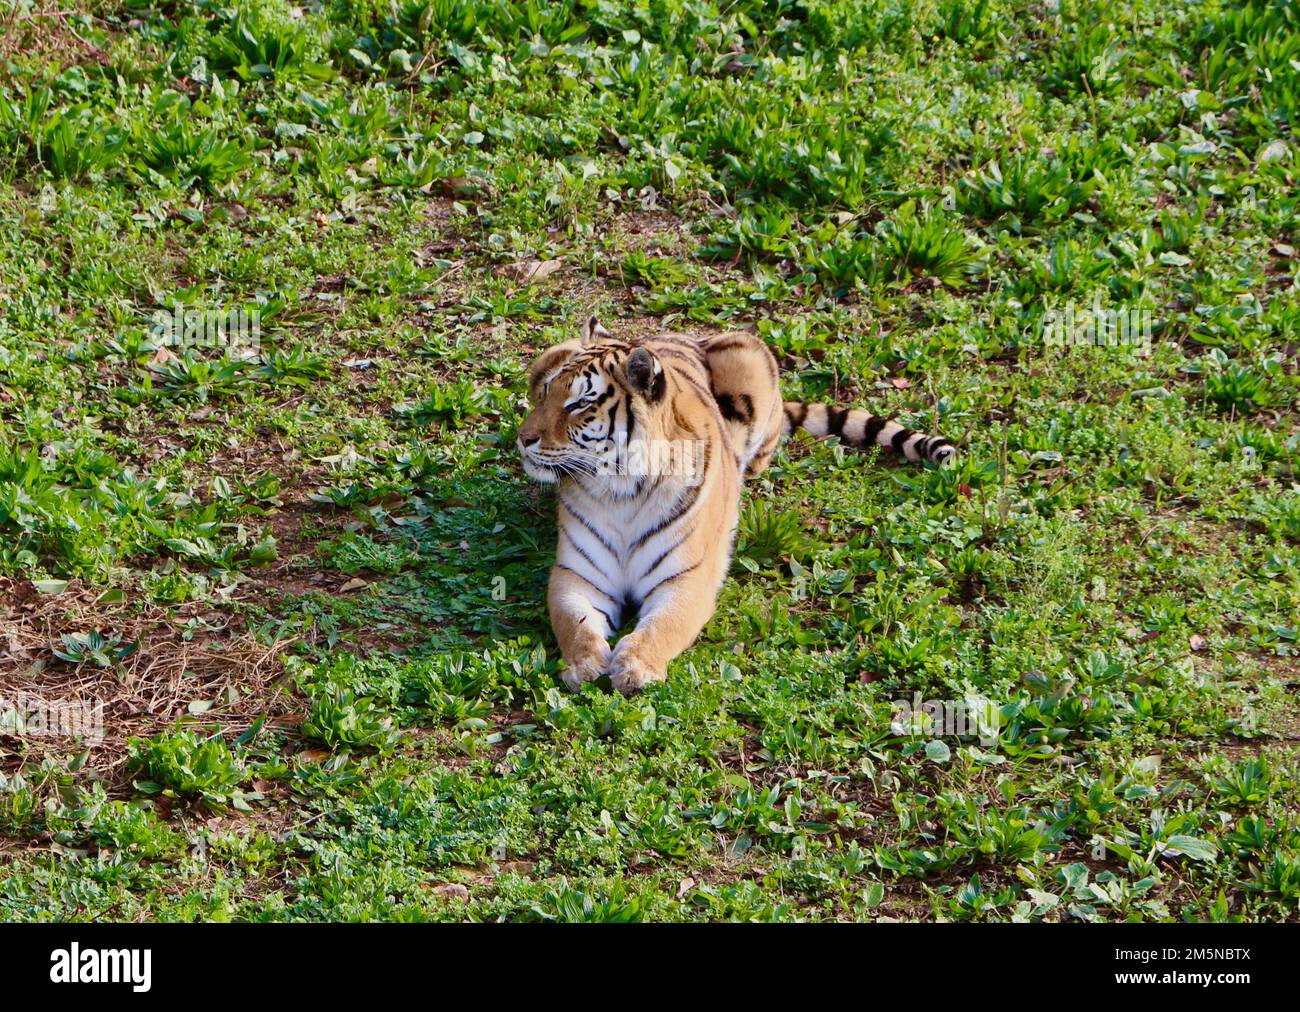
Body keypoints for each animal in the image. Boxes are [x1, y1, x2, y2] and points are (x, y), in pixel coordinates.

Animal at [518, 317, 957, 694]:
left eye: (579, 405)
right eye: (545, 393)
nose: (524, 438)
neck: (621, 489)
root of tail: (685, 336)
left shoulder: (687, 578)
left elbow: (666, 625)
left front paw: (636, 668)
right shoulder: (576, 574)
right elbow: (574, 622)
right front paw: (585, 665)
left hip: (750, 358)